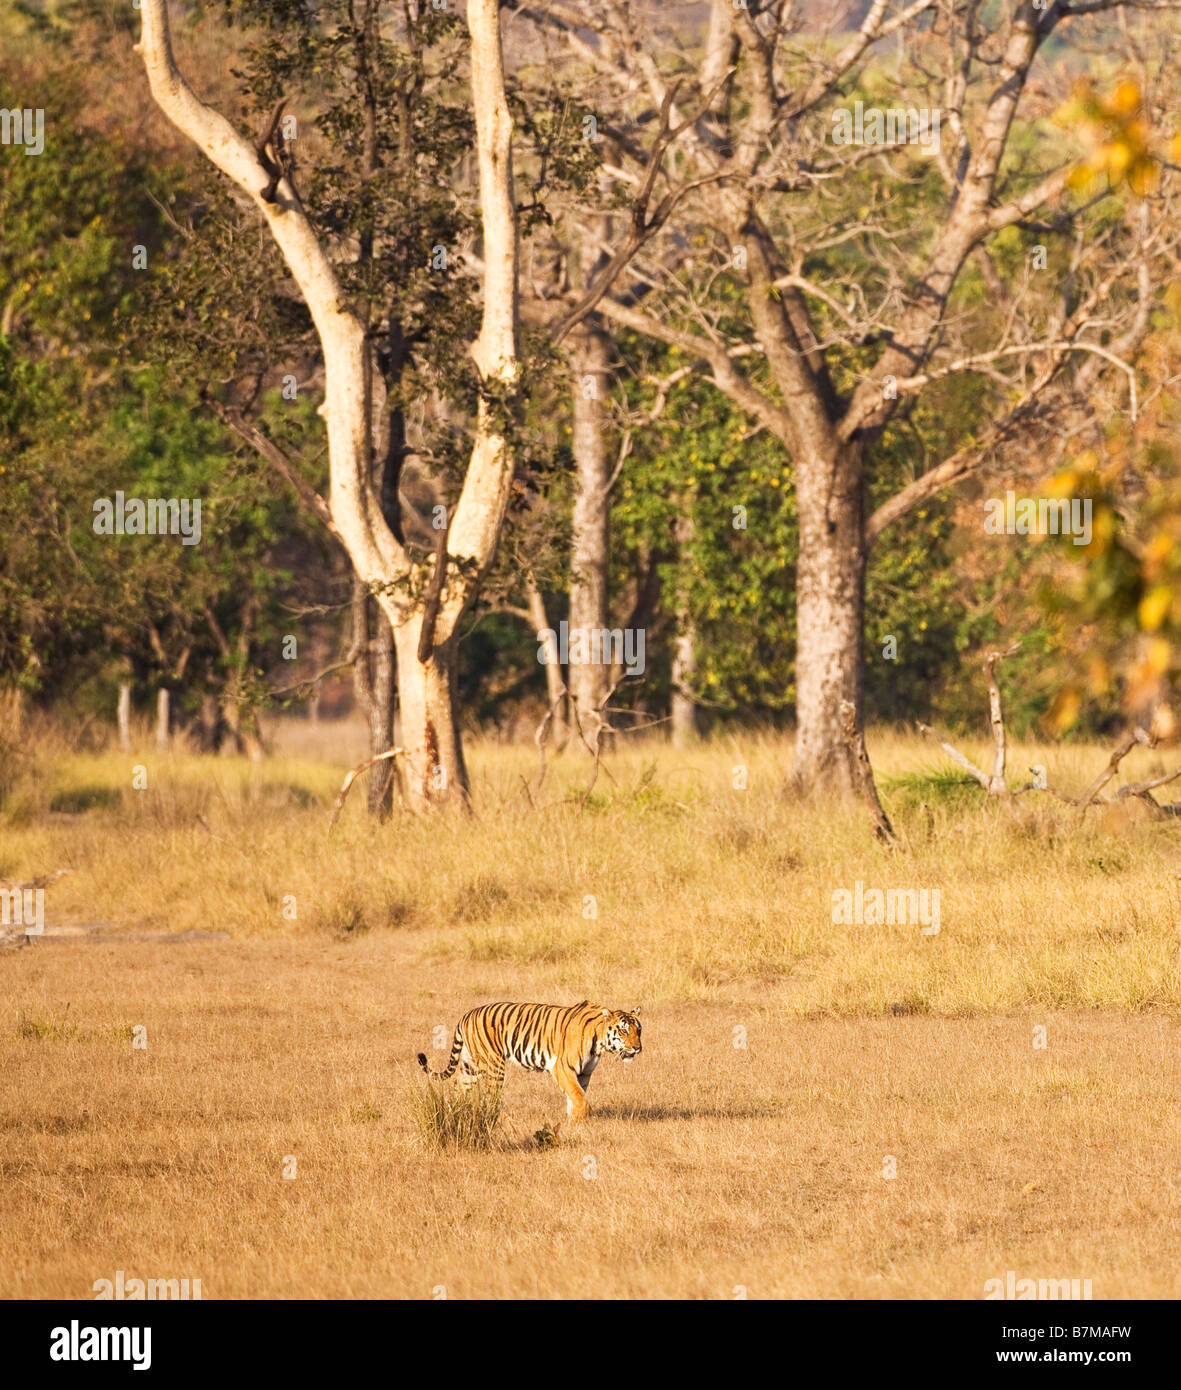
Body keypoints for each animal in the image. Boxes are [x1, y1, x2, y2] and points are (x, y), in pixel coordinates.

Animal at [417, 1000, 642, 1122]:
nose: (637, 1048)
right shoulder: (562, 1067)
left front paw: (574, 1121)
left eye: (637, 1030)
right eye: (623, 1031)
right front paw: (581, 1120)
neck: (599, 1042)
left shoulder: (584, 1072)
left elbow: (576, 1096)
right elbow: (579, 1097)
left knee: (457, 1089)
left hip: (470, 1066)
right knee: (491, 1098)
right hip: (493, 1065)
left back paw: (455, 1113)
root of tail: (466, 1014)